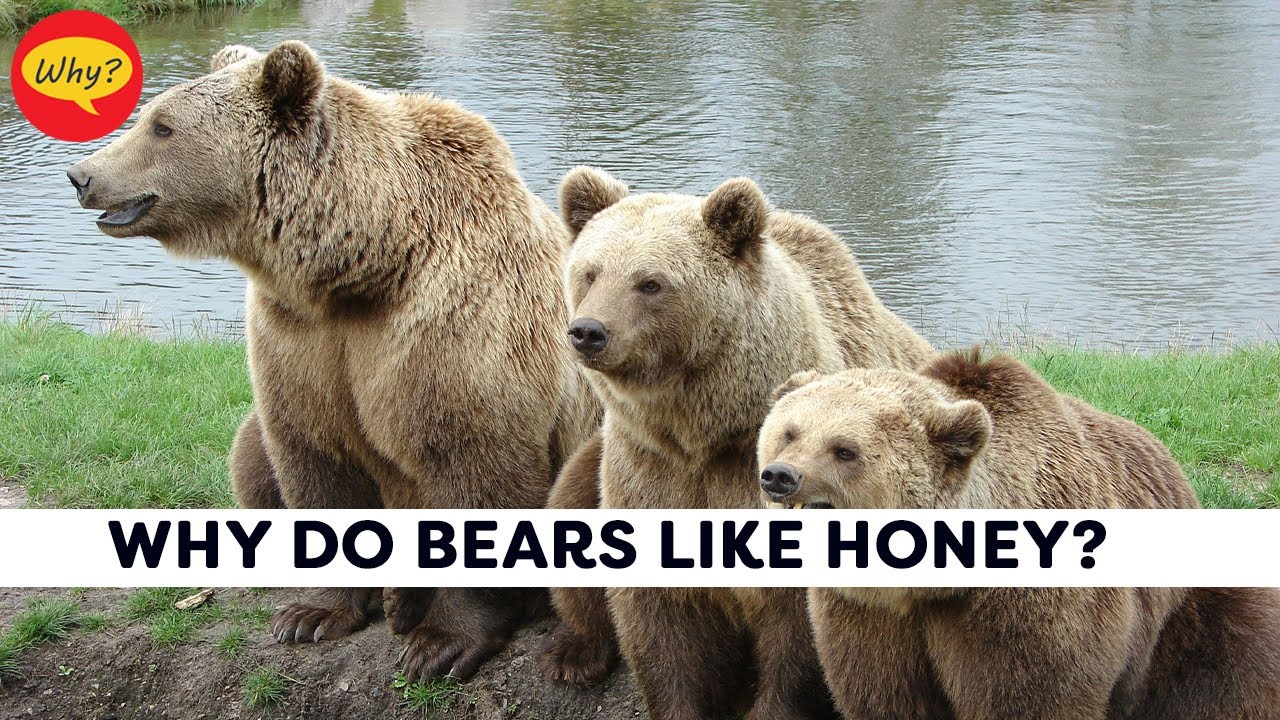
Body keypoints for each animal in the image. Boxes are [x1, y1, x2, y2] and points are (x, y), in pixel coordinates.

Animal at [68, 41, 599, 681]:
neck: (363, 265)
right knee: (250, 454)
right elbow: (312, 454)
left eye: (161, 125)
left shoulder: (453, 326)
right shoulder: (300, 338)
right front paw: (311, 615)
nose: (81, 175)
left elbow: (472, 463)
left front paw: (441, 644)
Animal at [539, 166, 935, 718]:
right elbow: (662, 619)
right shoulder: (651, 467)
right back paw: (574, 652)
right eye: (590, 273)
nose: (588, 331)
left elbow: (796, 630)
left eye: (650, 282)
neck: (705, 432)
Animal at [756, 349, 1280, 720]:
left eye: (844, 449)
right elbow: (884, 694)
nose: (780, 476)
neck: (932, 584)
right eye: (789, 432)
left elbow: (1029, 694)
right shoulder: (868, 614)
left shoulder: (1026, 606)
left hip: (1186, 610)